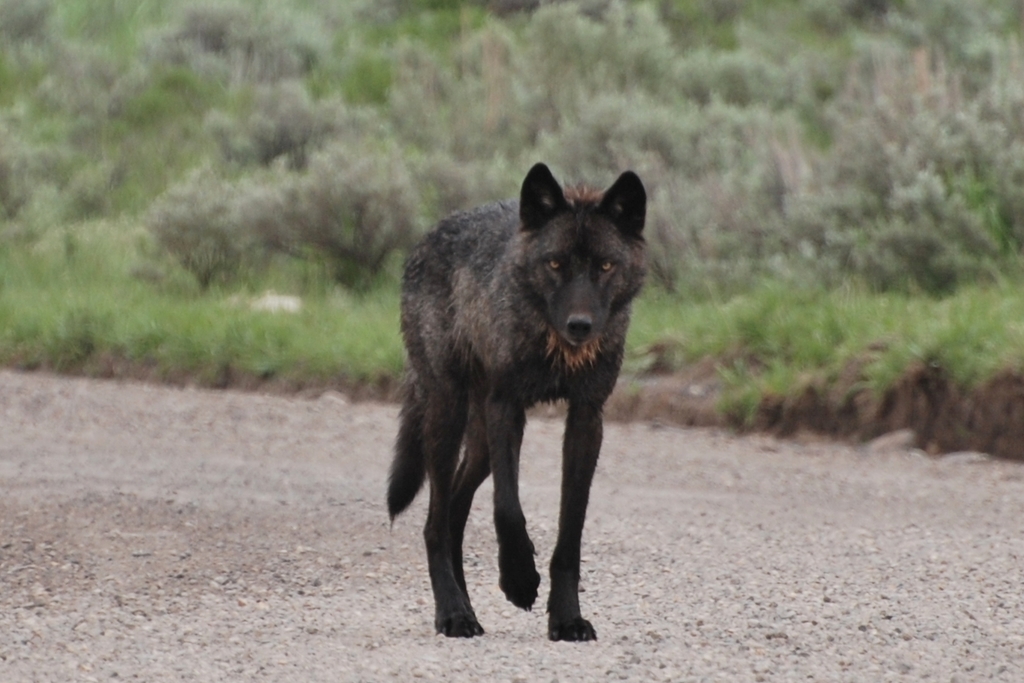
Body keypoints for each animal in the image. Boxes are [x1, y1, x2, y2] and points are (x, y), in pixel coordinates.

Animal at [386, 162, 646, 641]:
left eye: (605, 266)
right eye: (555, 263)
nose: (580, 325)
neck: (552, 343)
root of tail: (428, 236)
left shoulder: (587, 417)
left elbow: (570, 532)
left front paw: (566, 617)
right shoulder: (505, 406)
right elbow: (508, 509)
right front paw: (520, 580)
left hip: (479, 445)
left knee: (453, 509)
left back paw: (466, 608)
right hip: (448, 415)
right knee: (435, 523)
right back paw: (453, 614)